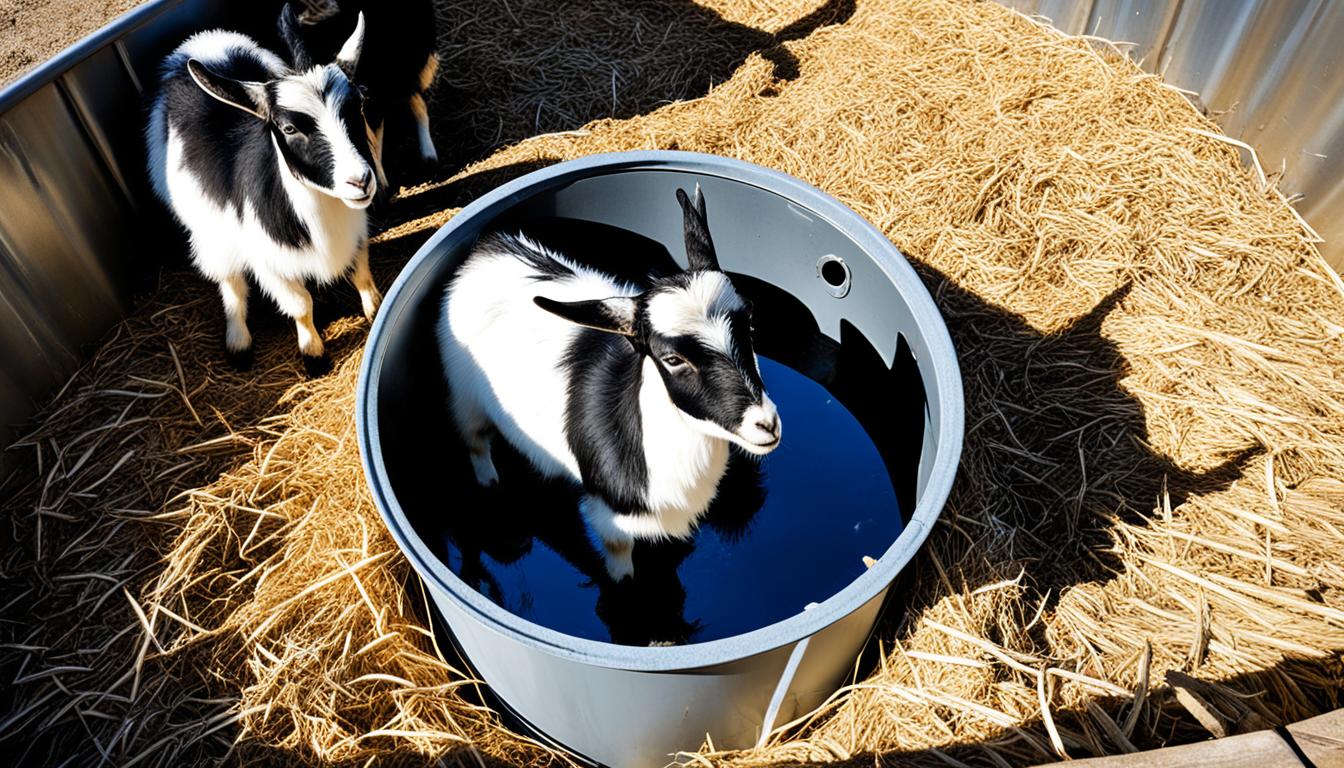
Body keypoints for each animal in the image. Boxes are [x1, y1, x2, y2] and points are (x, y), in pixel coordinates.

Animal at [145, 22, 381, 369]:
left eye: (360, 105)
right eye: (288, 128)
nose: (360, 181)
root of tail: (200, 42)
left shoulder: (356, 232)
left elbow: (361, 273)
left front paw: (374, 311)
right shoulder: (268, 261)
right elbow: (300, 305)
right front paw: (313, 355)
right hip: (208, 230)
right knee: (229, 282)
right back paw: (238, 342)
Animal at [438, 187, 782, 580]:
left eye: (749, 321)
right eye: (672, 359)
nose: (766, 424)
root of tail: (486, 250)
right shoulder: (611, 520)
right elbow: (621, 567)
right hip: (466, 400)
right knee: (476, 442)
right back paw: (489, 483)